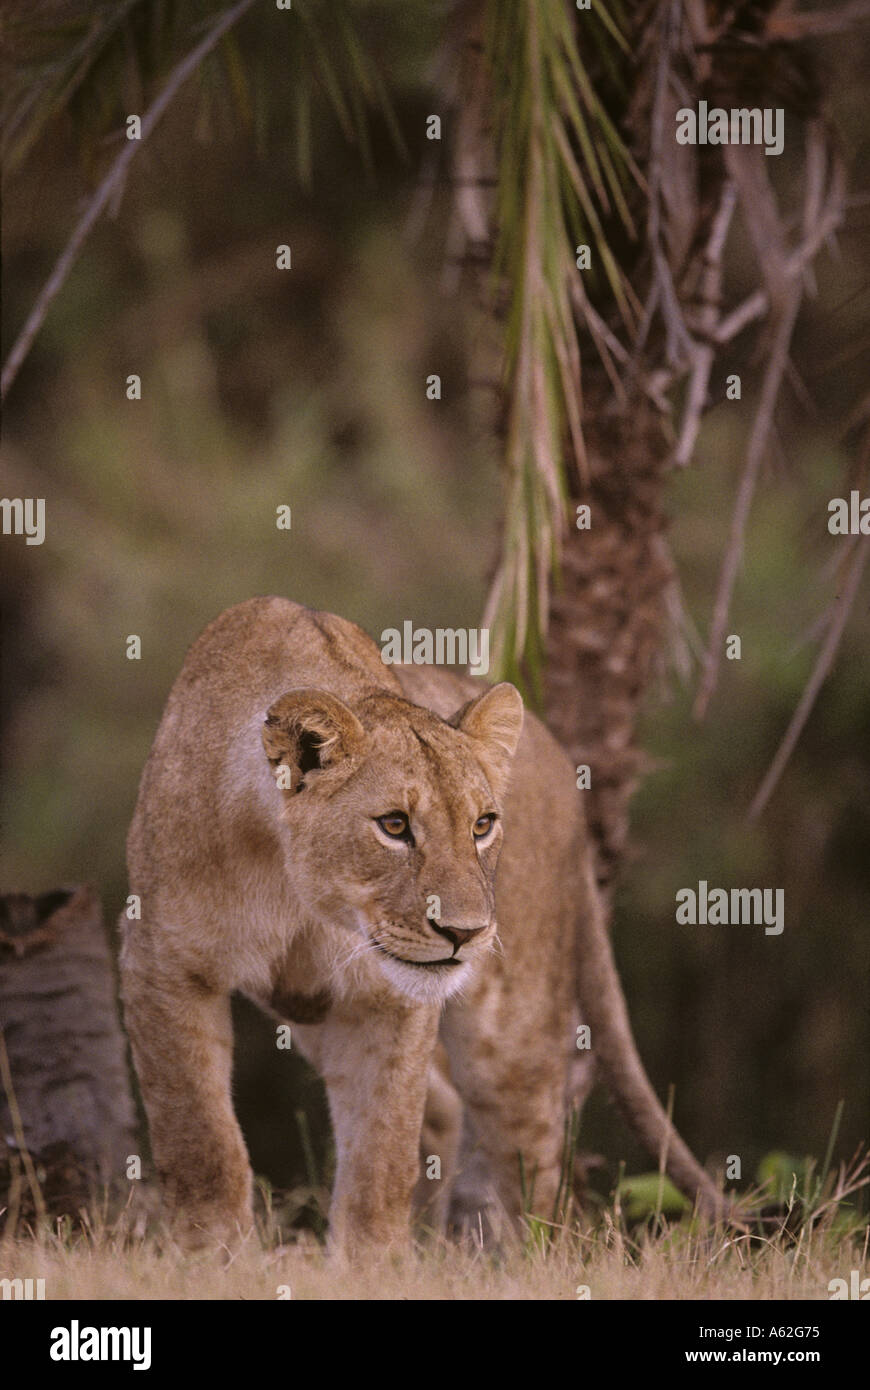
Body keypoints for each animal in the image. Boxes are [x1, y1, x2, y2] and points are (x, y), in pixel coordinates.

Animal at [119, 596, 724, 1254]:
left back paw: (522, 1257)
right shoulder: (163, 966)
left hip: (512, 1037)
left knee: (532, 1163)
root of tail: (561, 760)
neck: (296, 890)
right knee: (447, 1112)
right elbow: (200, 1140)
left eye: (482, 825)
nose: (466, 932)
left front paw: (371, 1264)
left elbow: (381, 1156)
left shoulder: (390, 999)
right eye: (394, 826)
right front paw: (211, 1256)